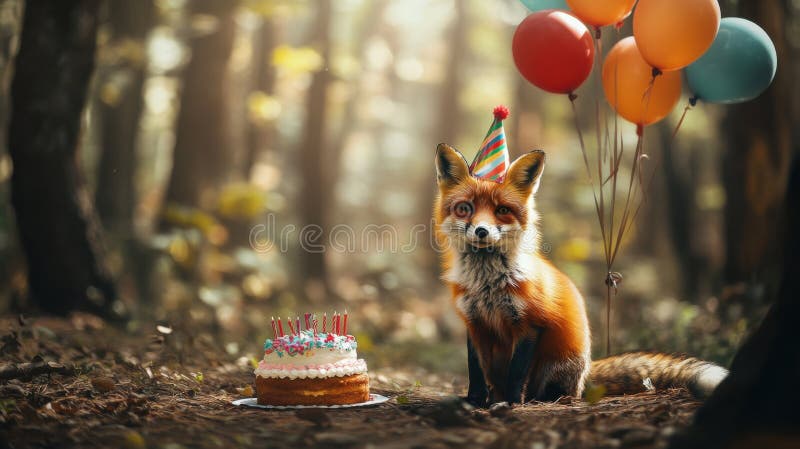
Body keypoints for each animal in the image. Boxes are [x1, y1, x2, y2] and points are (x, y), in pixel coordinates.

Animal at [434, 143, 728, 406]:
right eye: (465, 208)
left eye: (502, 210)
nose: (481, 231)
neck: (487, 284)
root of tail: (586, 371)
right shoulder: (474, 323)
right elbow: (475, 372)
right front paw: (474, 401)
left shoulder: (530, 324)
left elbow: (516, 373)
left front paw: (511, 402)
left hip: (556, 365)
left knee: (559, 392)